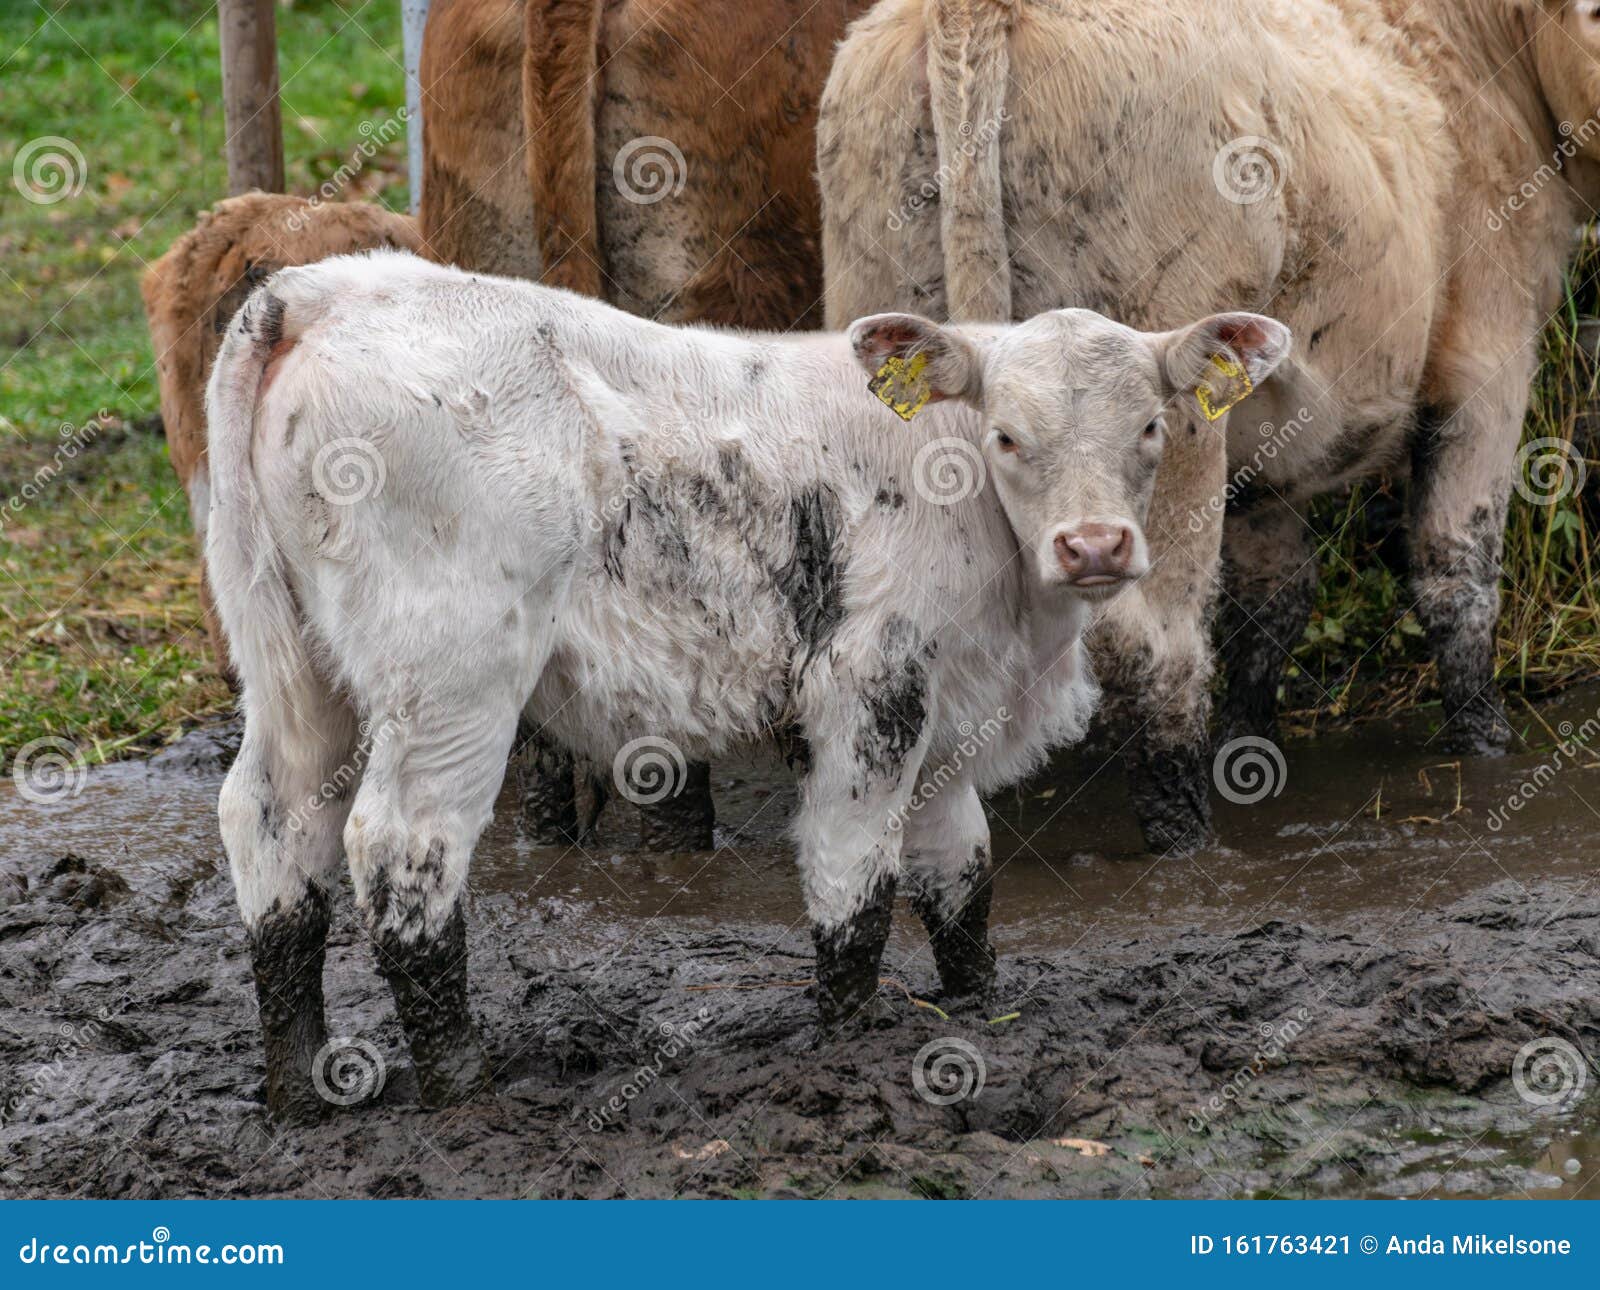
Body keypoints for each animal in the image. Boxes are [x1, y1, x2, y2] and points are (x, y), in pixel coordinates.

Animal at [203, 249, 1289, 1116]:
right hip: (452, 675)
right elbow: (856, 879)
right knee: (403, 845)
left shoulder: (942, 705)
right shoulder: (868, 687)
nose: (1094, 545)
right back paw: (465, 1085)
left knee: (270, 821)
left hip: (294, 666)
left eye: (1150, 427)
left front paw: (979, 1007)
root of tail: (326, 288)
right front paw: (848, 1044)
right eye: (1008, 437)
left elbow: (960, 871)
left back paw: (299, 1090)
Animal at [818, 0, 1600, 853]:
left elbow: (1273, 600)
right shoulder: (1488, 359)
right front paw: (1487, 746)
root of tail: (967, 11)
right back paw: (1187, 840)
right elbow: (1456, 570)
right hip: (1157, 429)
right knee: (1156, 646)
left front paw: (1248, 745)